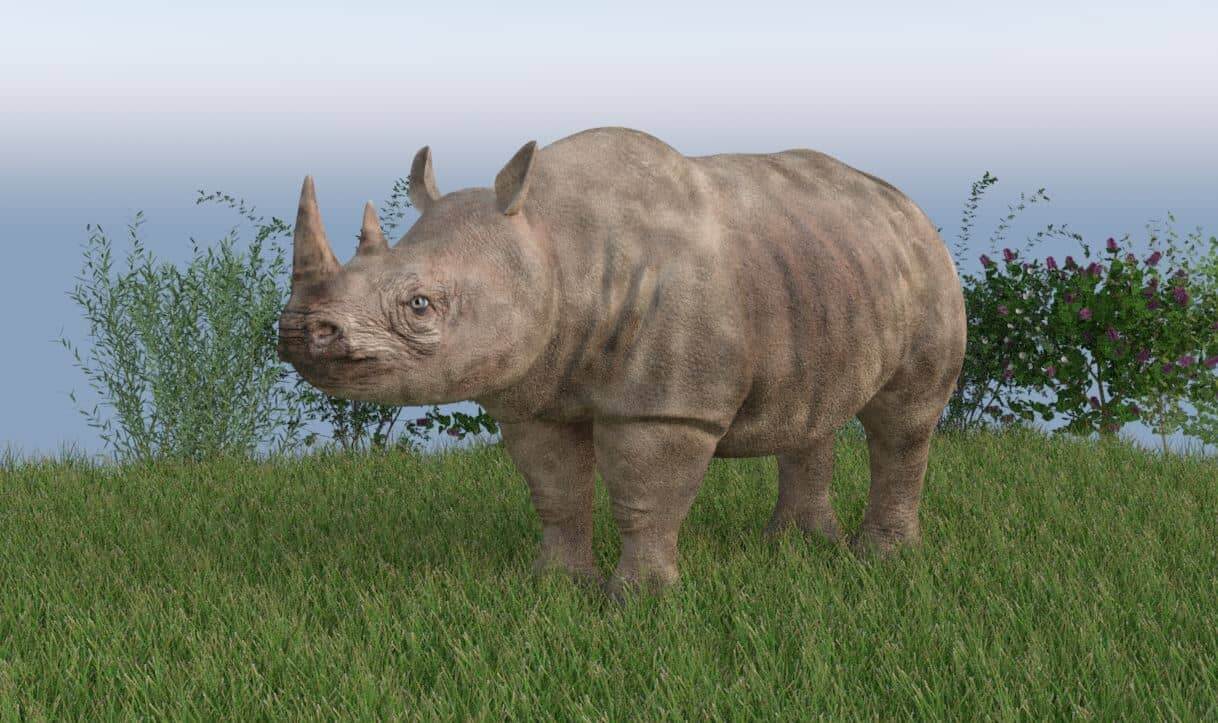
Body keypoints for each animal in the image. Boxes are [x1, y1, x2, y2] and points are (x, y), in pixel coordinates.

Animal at [278, 127, 967, 597]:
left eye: (420, 305)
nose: (298, 332)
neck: (554, 243)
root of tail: (906, 203)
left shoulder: (667, 404)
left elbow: (644, 495)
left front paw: (639, 602)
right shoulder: (535, 394)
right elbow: (556, 491)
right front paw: (555, 586)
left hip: (926, 268)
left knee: (904, 422)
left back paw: (881, 560)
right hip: (821, 269)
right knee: (811, 407)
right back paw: (795, 546)